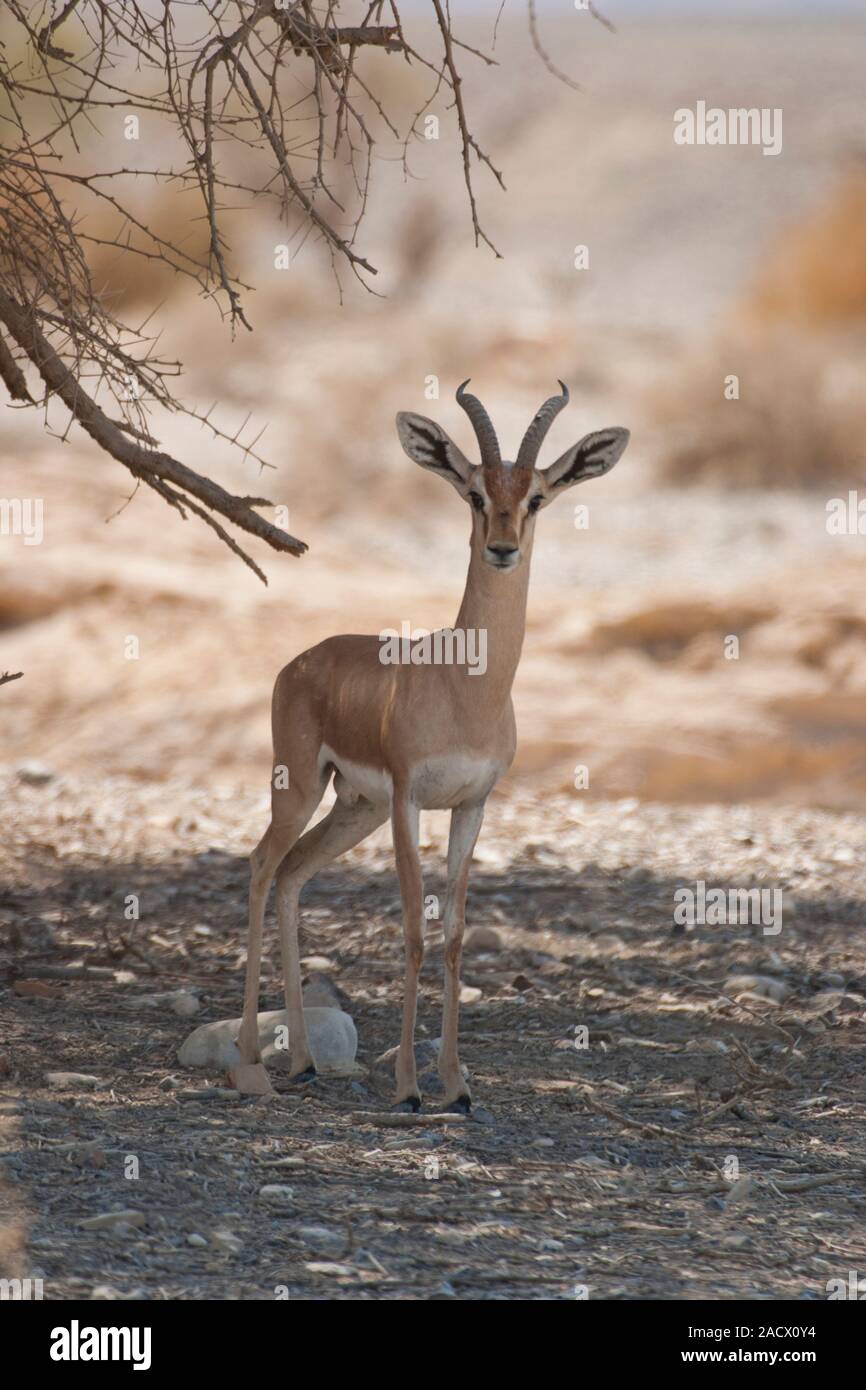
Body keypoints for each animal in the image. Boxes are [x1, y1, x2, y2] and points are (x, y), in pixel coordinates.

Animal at [232, 382, 629, 1110]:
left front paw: (455, 1084)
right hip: (301, 789)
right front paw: (411, 1086)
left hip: (352, 807)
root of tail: (301, 661)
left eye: (535, 496)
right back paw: (250, 1055)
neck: (466, 688)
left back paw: (302, 1058)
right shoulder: (408, 802)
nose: (502, 547)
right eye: (474, 492)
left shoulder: (472, 807)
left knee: (294, 874)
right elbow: (415, 934)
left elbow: (453, 938)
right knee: (260, 865)